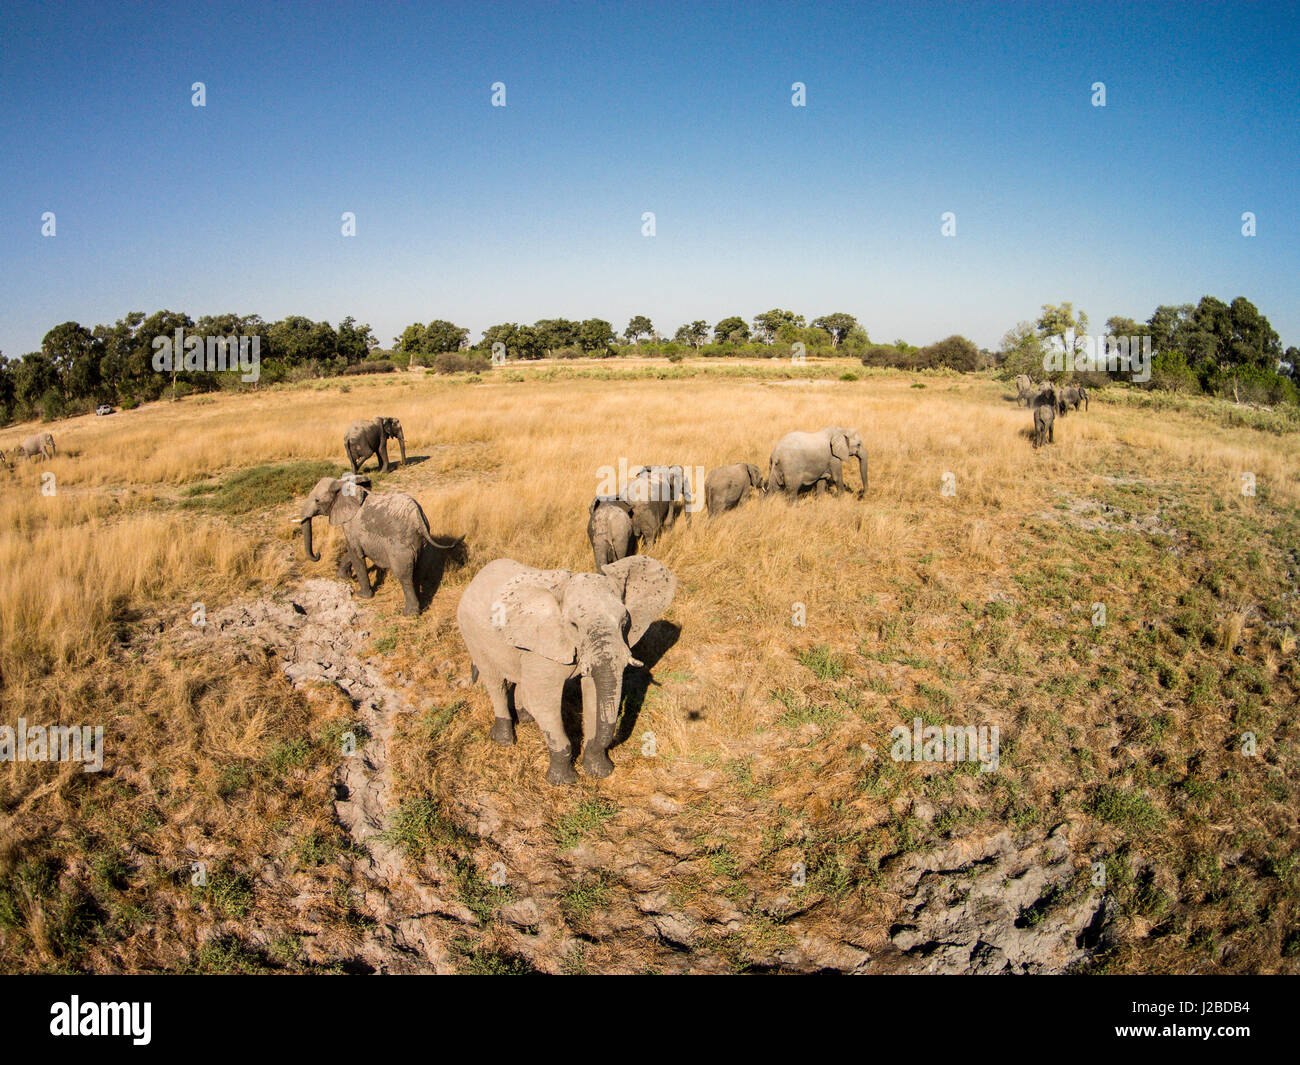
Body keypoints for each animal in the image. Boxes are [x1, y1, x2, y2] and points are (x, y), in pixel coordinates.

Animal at [298, 475, 458, 616]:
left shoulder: (351, 525)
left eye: (317, 500)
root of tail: (418, 518)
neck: (343, 484)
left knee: (404, 575)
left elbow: (355, 553)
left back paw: (409, 613)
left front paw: (362, 595)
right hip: (422, 544)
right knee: (418, 569)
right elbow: (352, 552)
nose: (318, 554)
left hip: (400, 545)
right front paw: (343, 577)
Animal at [456, 555, 676, 784]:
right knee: (494, 681)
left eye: (624, 622)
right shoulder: (544, 645)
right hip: (471, 632)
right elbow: (544, 702)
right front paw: (564, 781)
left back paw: (526, 718)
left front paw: (598, 770)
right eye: (573, 625)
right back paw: (504, 740)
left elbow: (594, 695)